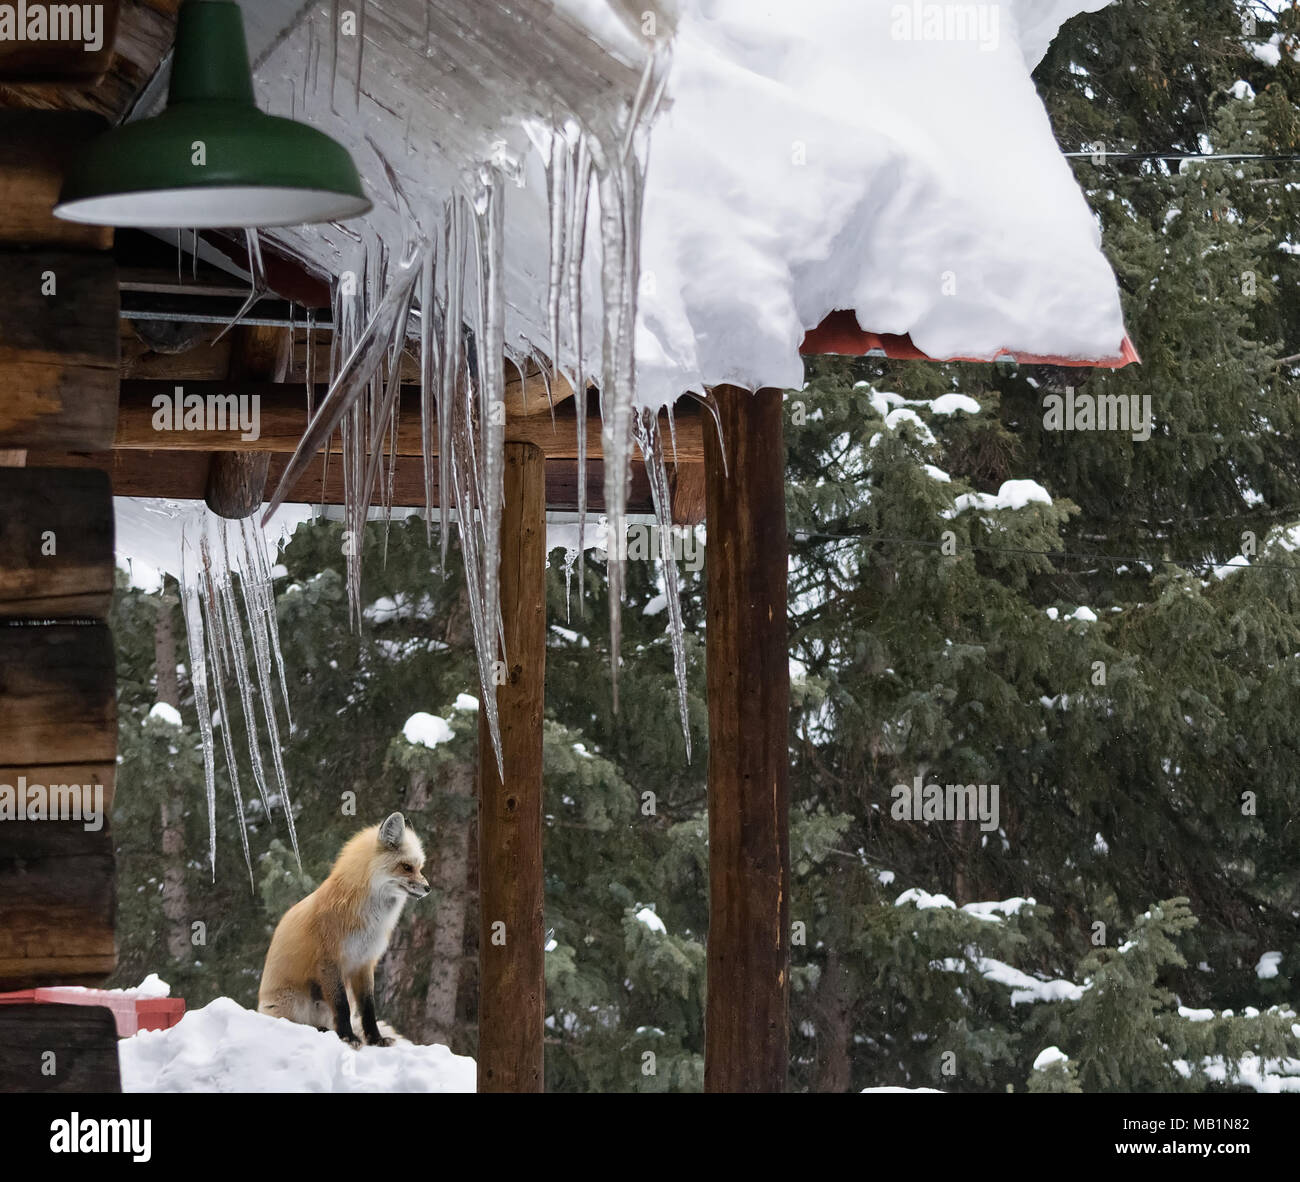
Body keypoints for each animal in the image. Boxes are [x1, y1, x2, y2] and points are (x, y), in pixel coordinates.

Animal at [258, 811, 429, 1047]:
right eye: (406, 867)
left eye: (419, 868)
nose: (428, 888)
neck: (370, 920)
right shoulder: (330, 960)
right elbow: (341, 1006)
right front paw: (348, 1037)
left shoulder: (365, 961)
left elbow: (368, 1008)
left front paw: (375, 1039)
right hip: (294, 1002)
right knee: (301, 1024)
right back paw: (322, 1030)